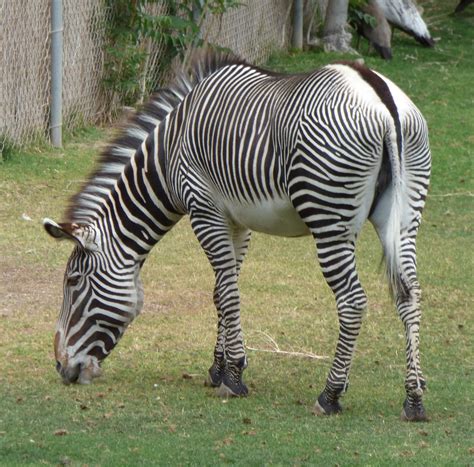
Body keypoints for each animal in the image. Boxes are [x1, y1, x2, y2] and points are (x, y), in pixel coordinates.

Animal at [43, 49, 430, 422]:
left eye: (73, 281)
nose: (61, 367)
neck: (169, 154)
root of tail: (380, 98)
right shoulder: (236, 221)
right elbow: (220, 291)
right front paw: (219, 368)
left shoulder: (204, 210)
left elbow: (228, 294)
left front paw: (233, 377)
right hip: (404, 216)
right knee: (409, 293)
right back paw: (414, 398)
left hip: (328, 218)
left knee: (352, 301)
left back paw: (330, 395)